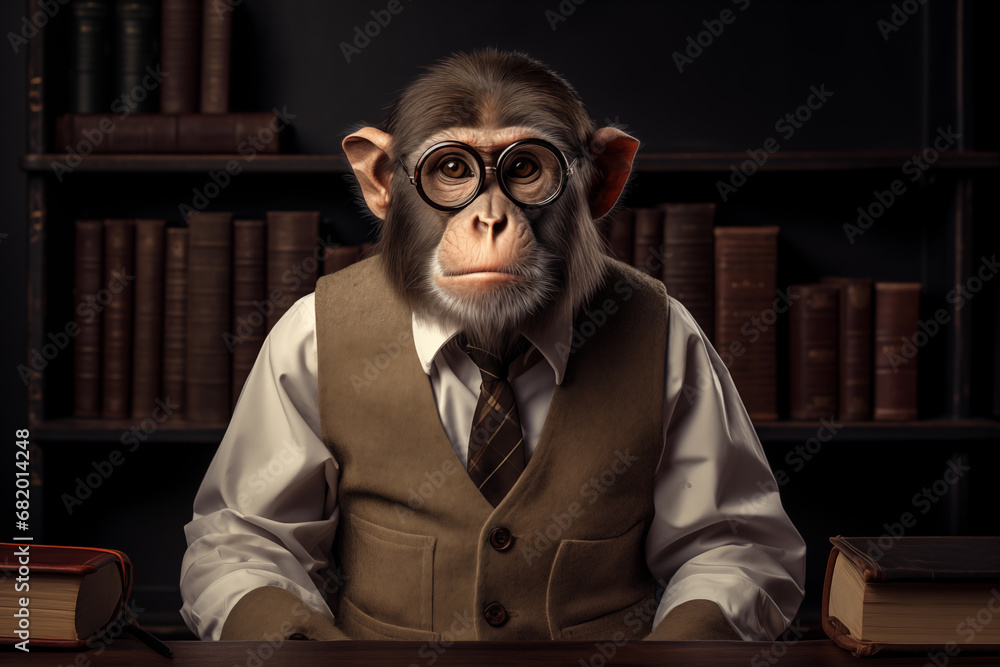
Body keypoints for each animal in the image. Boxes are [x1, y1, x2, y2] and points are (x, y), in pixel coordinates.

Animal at [180, 48, 805, 645]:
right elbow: (248, 535)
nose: (489, 219)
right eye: (453, 168)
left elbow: (727, 543)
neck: (490, 343)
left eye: (524, 168)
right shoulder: (291, 343)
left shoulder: (689, 345)